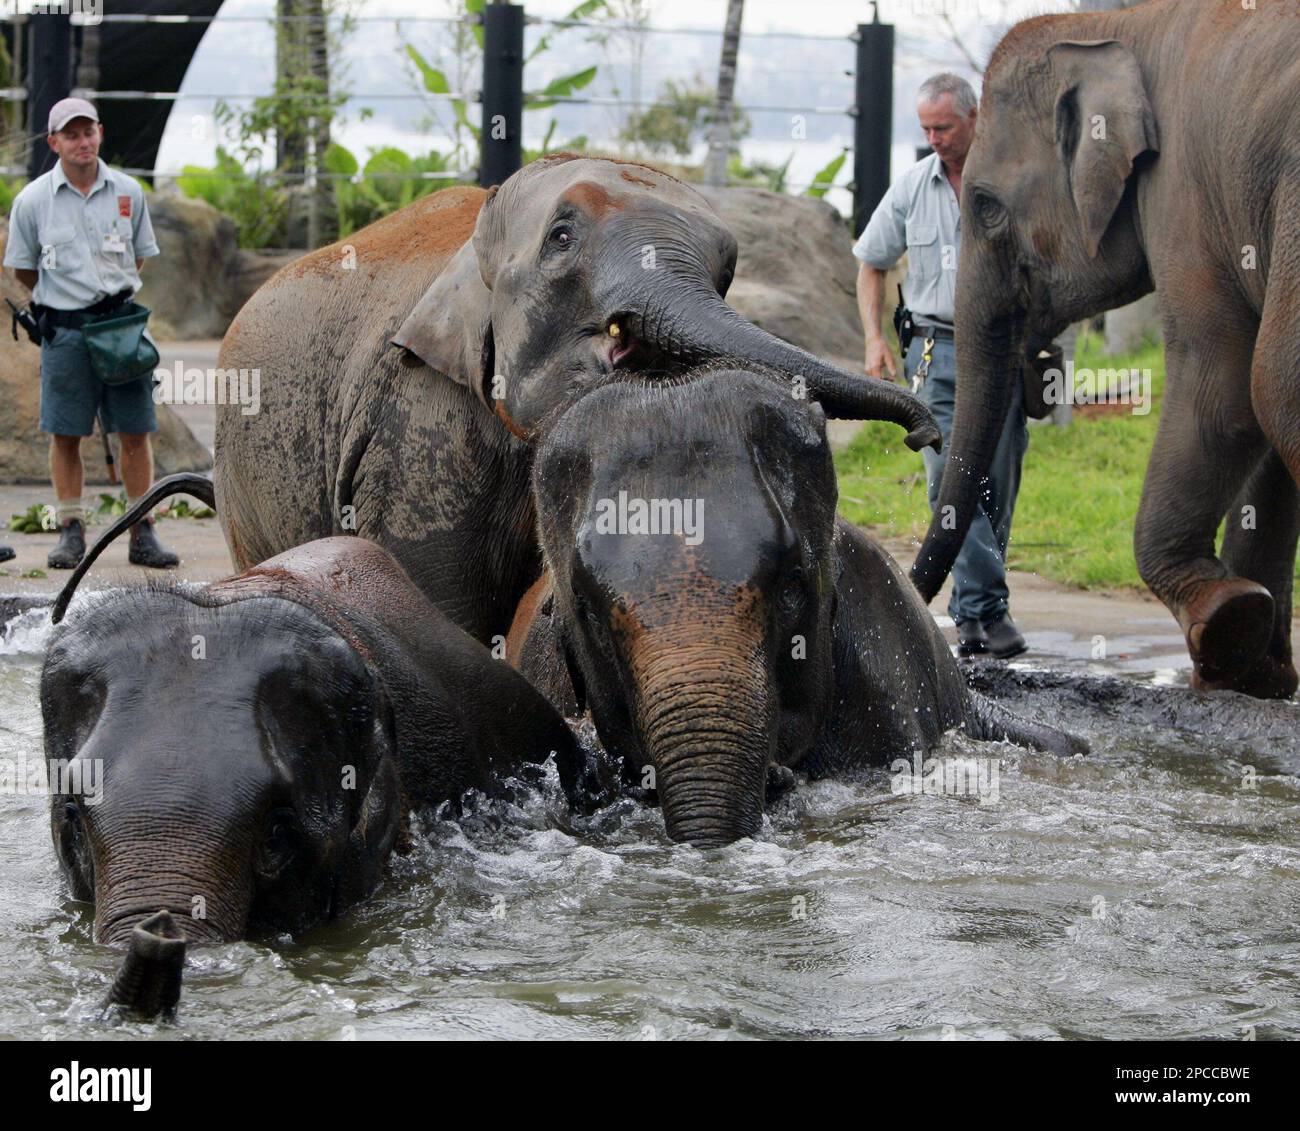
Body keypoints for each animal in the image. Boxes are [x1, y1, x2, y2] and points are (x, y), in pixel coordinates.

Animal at [908, 0, 1300, 699]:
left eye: (984, 205)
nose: (918, 436)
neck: (1122, 23)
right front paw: (1253, 672)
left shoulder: (1185, 191)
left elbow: (1227, 379)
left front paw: (1225, 624)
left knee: (1275, 382)